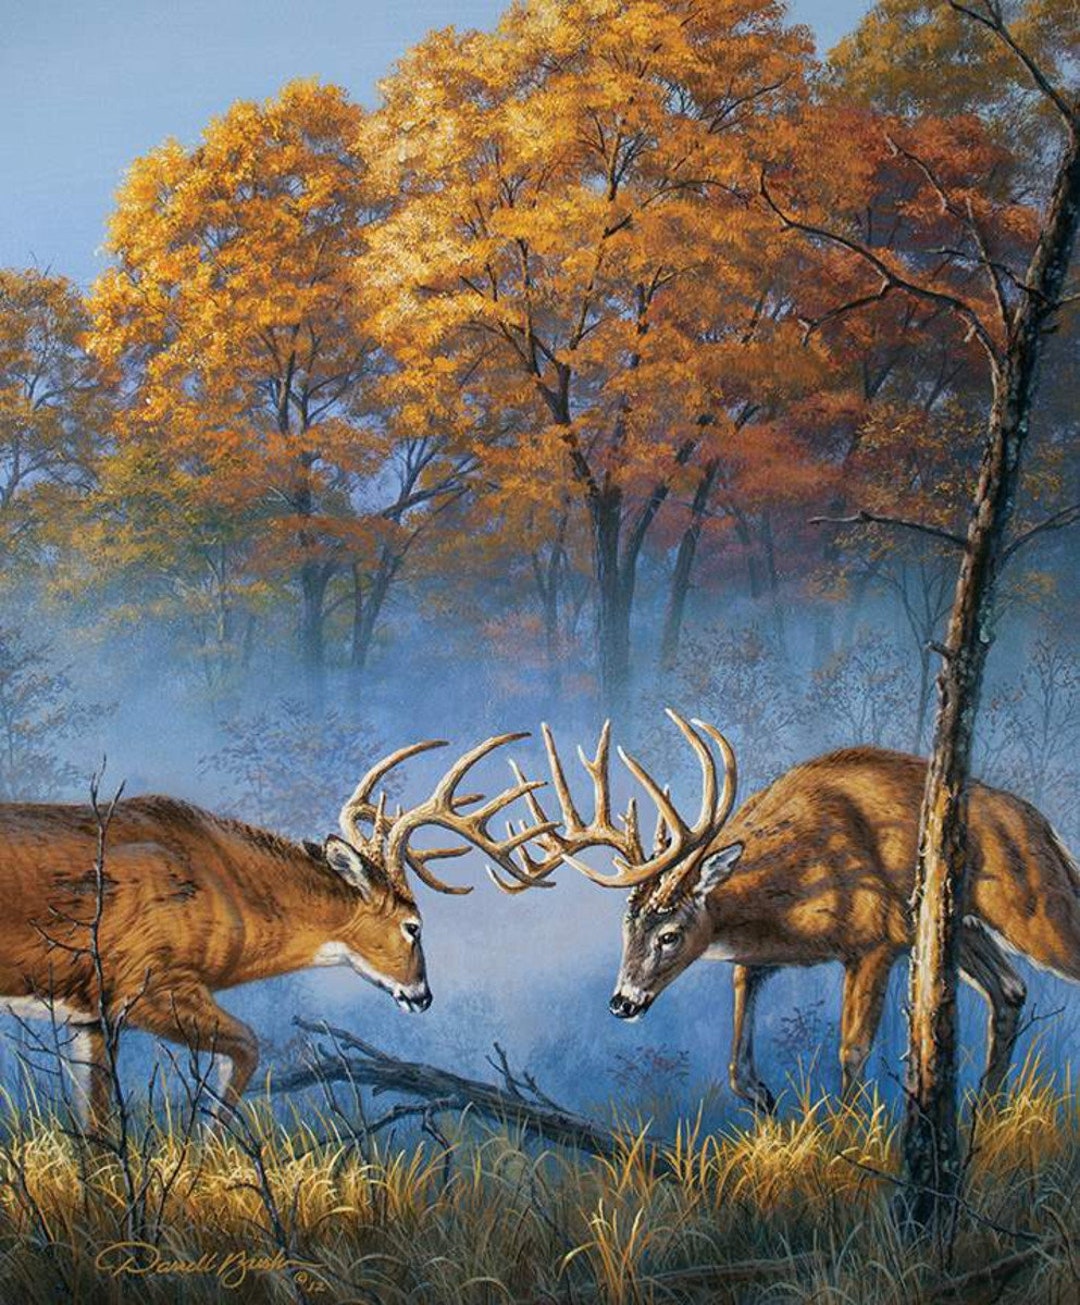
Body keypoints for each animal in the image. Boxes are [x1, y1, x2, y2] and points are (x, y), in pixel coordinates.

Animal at [0, 731, 554, 1127]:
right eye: (413, 926)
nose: (421, 995)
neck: (223, 889)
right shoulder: (149, 982)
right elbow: (247, 1049)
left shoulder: (89, 1018)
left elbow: (92, 1128)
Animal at [496, 710, 1080, 1110]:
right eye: (626, 929)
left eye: (670, 934)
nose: (622, 1001)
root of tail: (1043, 827)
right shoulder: (754, 962)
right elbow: (738, 1067)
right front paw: (771, 1108)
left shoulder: (878, 939)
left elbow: (851, 1052)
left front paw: (848, 1143)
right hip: (962, 928)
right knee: (1010, 990)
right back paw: (985, 1111)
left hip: (1034, 910)